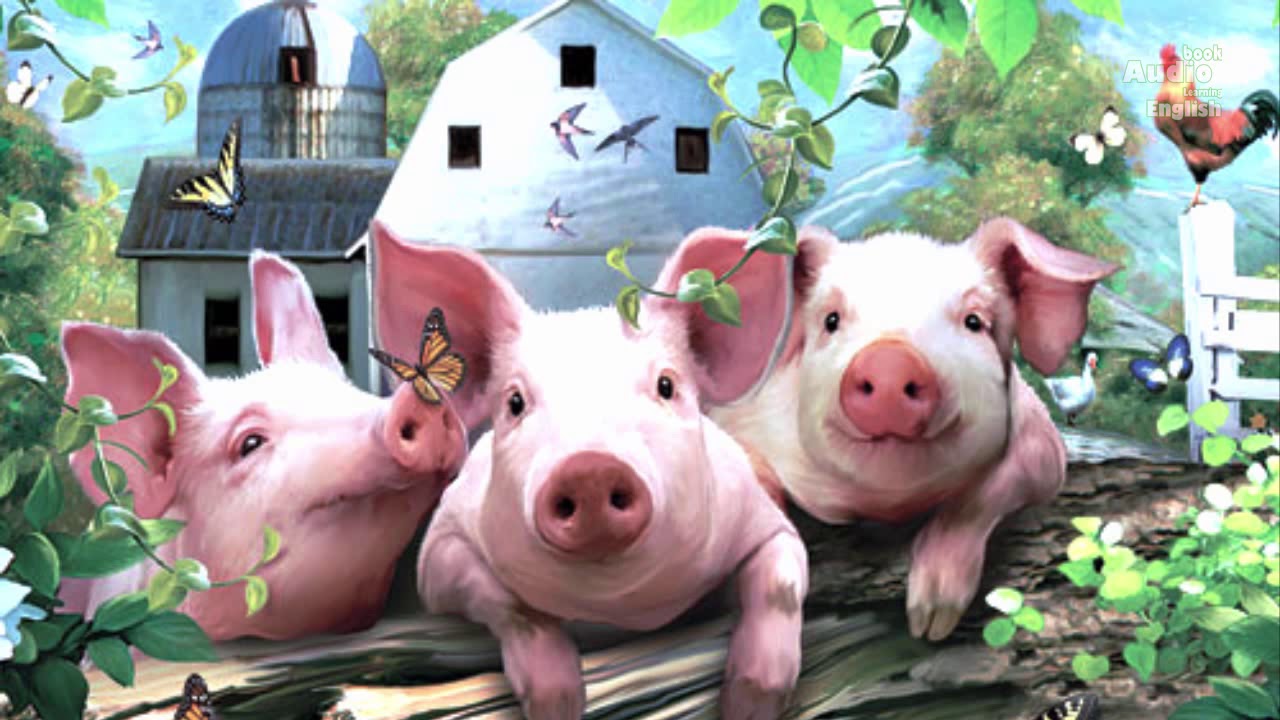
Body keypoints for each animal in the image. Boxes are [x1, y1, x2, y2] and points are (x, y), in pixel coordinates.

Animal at [369, 220, 808, 720]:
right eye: (515, 402)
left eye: (666, 386)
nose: (590, 469)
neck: (616, 606)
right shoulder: (440, 550)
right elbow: (511, 607)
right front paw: (558, 704)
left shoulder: (763, 516)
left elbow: (780, 581)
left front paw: (750, 704)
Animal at [711, 218, 1119, 642]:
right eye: (831, 320)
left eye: (974, 322)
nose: (889, 361)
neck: (886, 507)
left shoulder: (1044, 446)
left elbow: (989, 491)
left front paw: (930, 624)